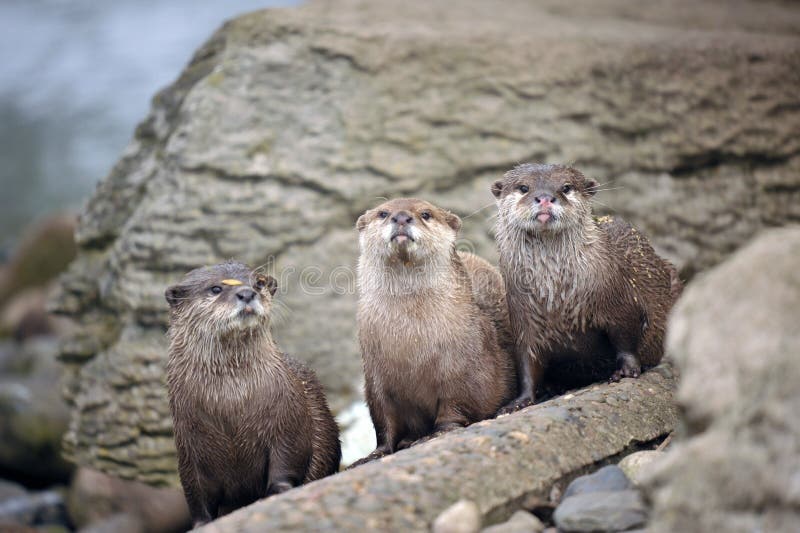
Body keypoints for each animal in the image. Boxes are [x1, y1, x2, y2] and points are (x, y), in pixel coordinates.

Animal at [164, 261, 340, 526]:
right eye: (215, 288)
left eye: (258, 283)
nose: (247, 293)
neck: (231, 402)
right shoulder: (188, 442)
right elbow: (195, 490)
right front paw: (202, 522)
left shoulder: (288, 416)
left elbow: (287, 458)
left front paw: (278, 491)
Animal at [356, 198, 516, 456]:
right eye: (383, 213)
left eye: (425, 214)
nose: (401, 217)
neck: (411, 343)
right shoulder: (375, 375)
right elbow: (382, 418)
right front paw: (378, 452)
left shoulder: (464, 365)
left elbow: (457, 401)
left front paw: (440, 431)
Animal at [491, 164, 682, 412]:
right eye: (523, 187)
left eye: (566, 187)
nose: (545, 198)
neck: (557, 297)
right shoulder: (523, 322)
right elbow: (527, 363)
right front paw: (520, 401)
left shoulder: (620, 301)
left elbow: (626, 337)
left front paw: (626, 370)